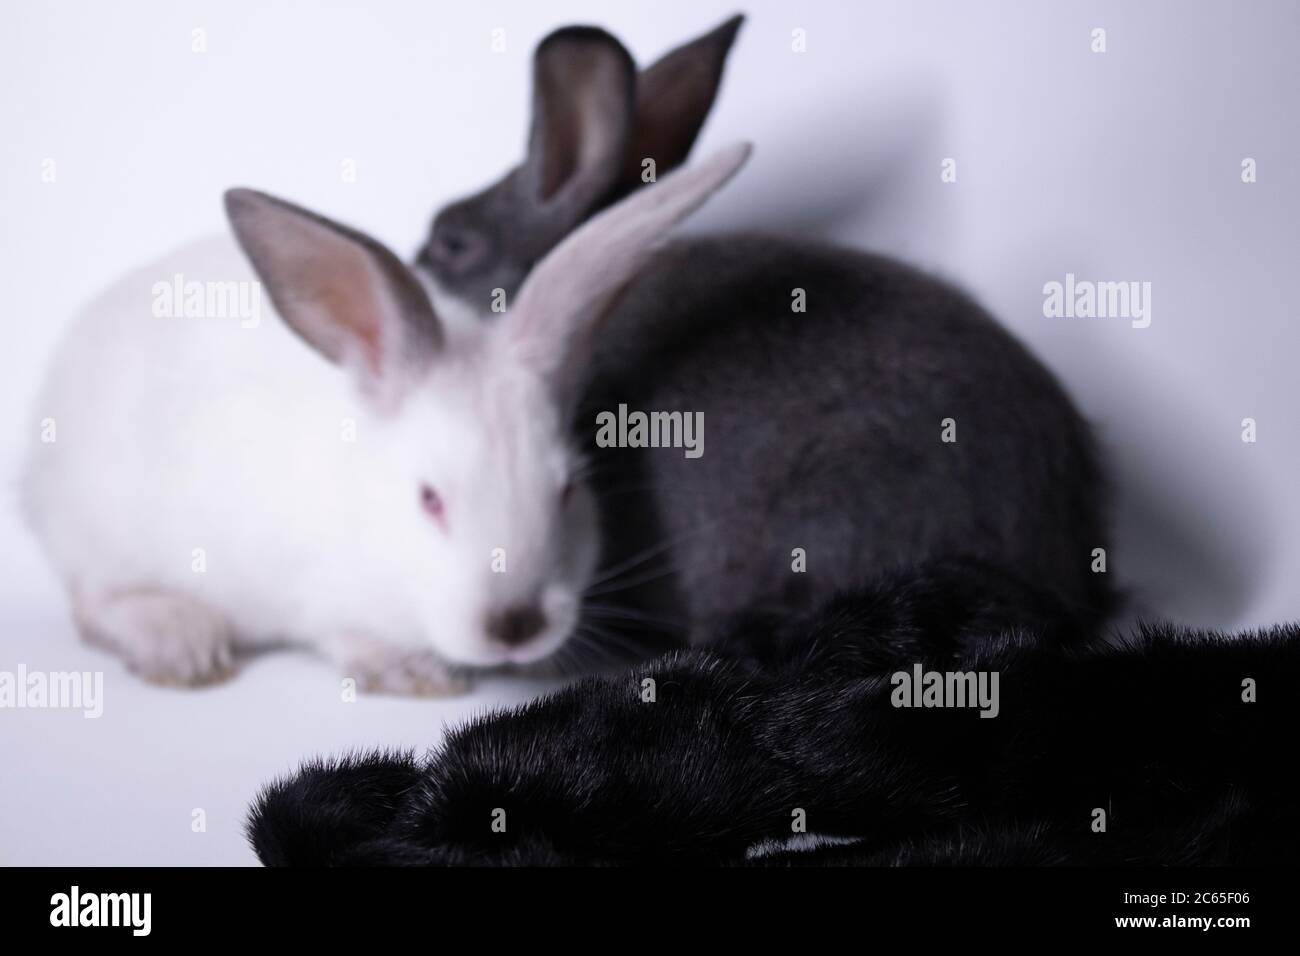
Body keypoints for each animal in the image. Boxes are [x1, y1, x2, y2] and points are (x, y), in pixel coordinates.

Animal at [20, 142, 753, 693]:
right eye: (429, 500)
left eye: (568, 492)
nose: (514, 627)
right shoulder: (313, 593)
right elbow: (345, 635)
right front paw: (412, 673)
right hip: (105, 533)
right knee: (92, 601)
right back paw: (179, 642)